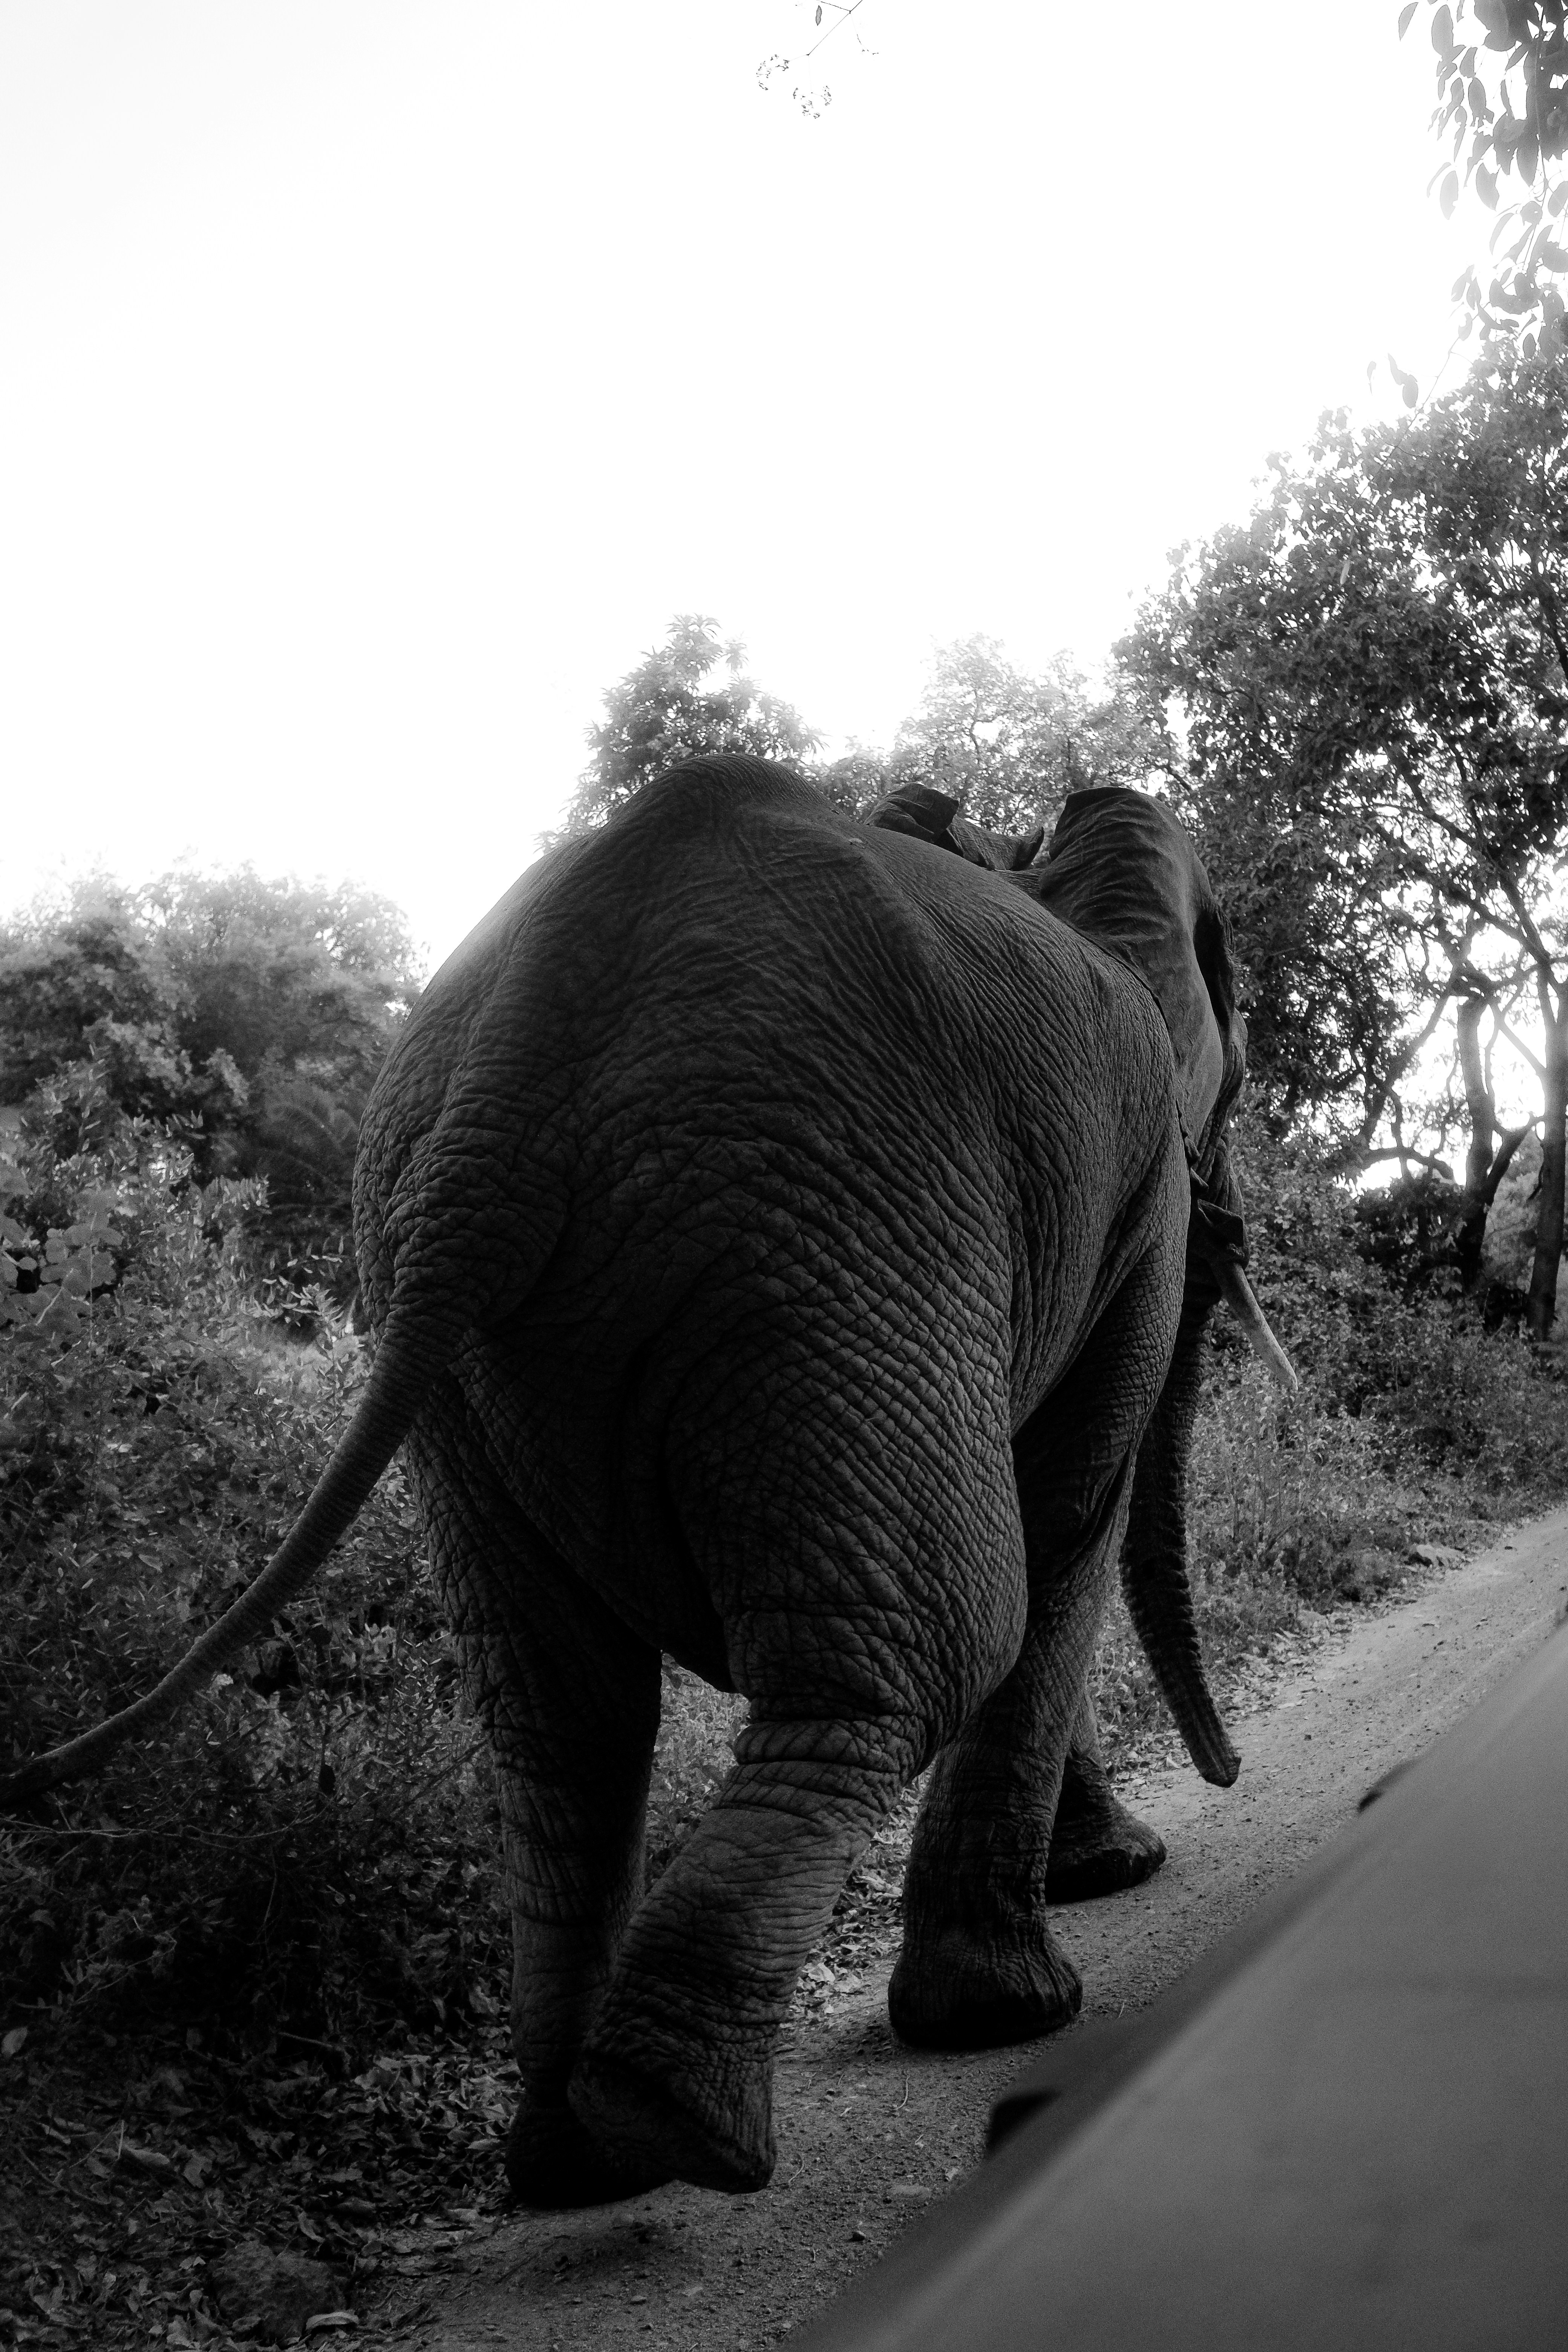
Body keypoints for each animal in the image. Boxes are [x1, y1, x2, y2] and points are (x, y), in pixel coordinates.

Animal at [2, 754, 1293, 2205]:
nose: (1229, 1772)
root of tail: (514, 1057)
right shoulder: (1135, 1216)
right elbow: (1067, 1525)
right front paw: (1029, 1991)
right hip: (821, 1235)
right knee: (934, 1639)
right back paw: (679, 2124)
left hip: (464, 1295)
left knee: (563, 1716)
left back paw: (580, 2161)